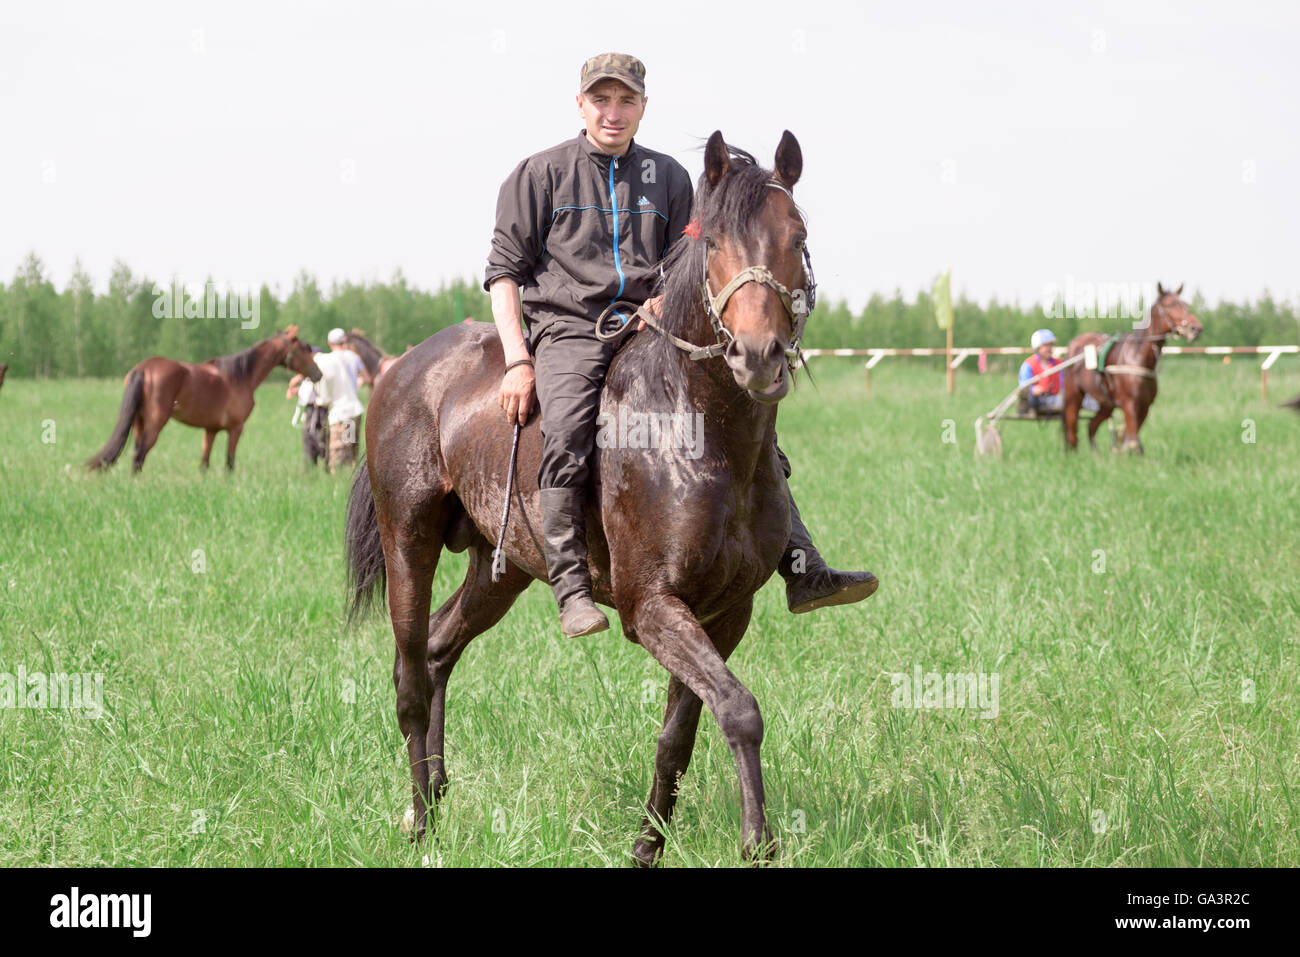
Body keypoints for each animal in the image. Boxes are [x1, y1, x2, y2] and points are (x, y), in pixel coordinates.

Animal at [87, 326, 321, 473]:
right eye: (304, 349)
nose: (318, 374)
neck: (240, 377)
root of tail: (143, 369)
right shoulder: (236, 429)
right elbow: (229, 463)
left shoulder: (211, 430)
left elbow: (204, 464)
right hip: (155, 424)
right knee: (139, 455)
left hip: (138, 423)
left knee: (136, 454)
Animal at [346, 131, 817, 864]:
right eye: (713, 243)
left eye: (797, 237)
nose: (759, 356)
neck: (696, 426)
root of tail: (400, 370)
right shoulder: (652, 608)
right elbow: (740, 710)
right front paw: (757, 843)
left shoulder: (723, 611)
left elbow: (680, 735)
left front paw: (648, 846)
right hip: (408, 544)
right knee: (410, 677)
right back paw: (421, 822)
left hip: (500, 568)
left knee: (440, 649)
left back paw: (440, 796)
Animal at [1061, 283, 1203, 454]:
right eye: (1171, 305)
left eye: (1186, 305)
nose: (1196, 328)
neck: (1138, 358)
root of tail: (1073, 345)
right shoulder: (1129, 405)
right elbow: (1134, 441)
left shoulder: (1144, 406)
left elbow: (1130, 439)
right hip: (1073, 396)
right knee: (1072, 430)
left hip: (1106, 403)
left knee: (1091, 426)